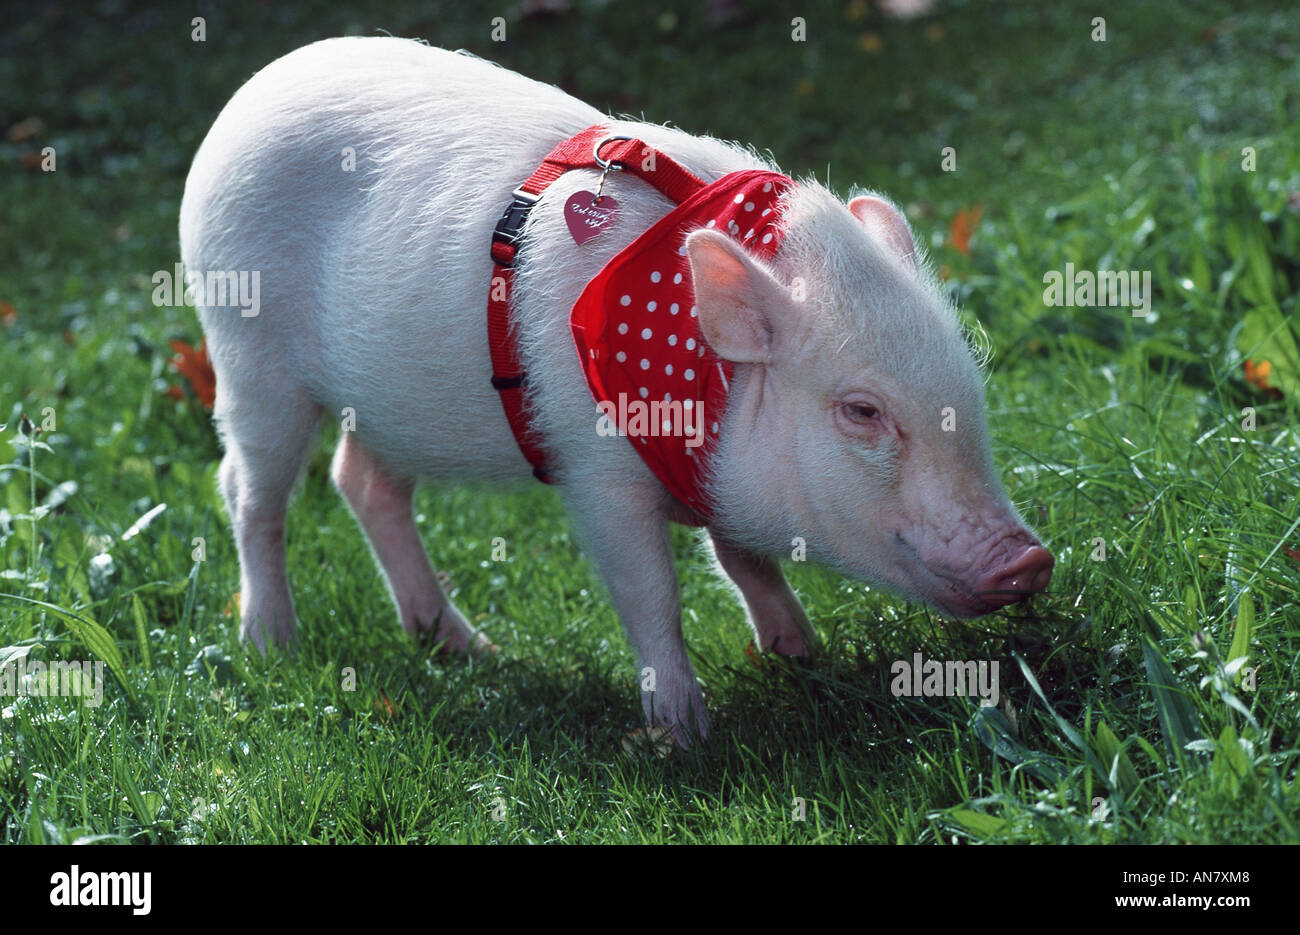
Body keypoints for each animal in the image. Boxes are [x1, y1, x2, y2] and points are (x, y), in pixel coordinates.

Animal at [179, 37, 1053, 744]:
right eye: (862, 411)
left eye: (970, 386)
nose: (1031, 558)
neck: (703, 372)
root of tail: (245, 100)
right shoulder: (594, 468)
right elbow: (649, 591)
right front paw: (686, 736)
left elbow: (743, 557)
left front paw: (801, 654)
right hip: (247, 349)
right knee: (248, 490)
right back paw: (273, 643)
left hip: (383, 407)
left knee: (361, 482)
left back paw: (466, 646)